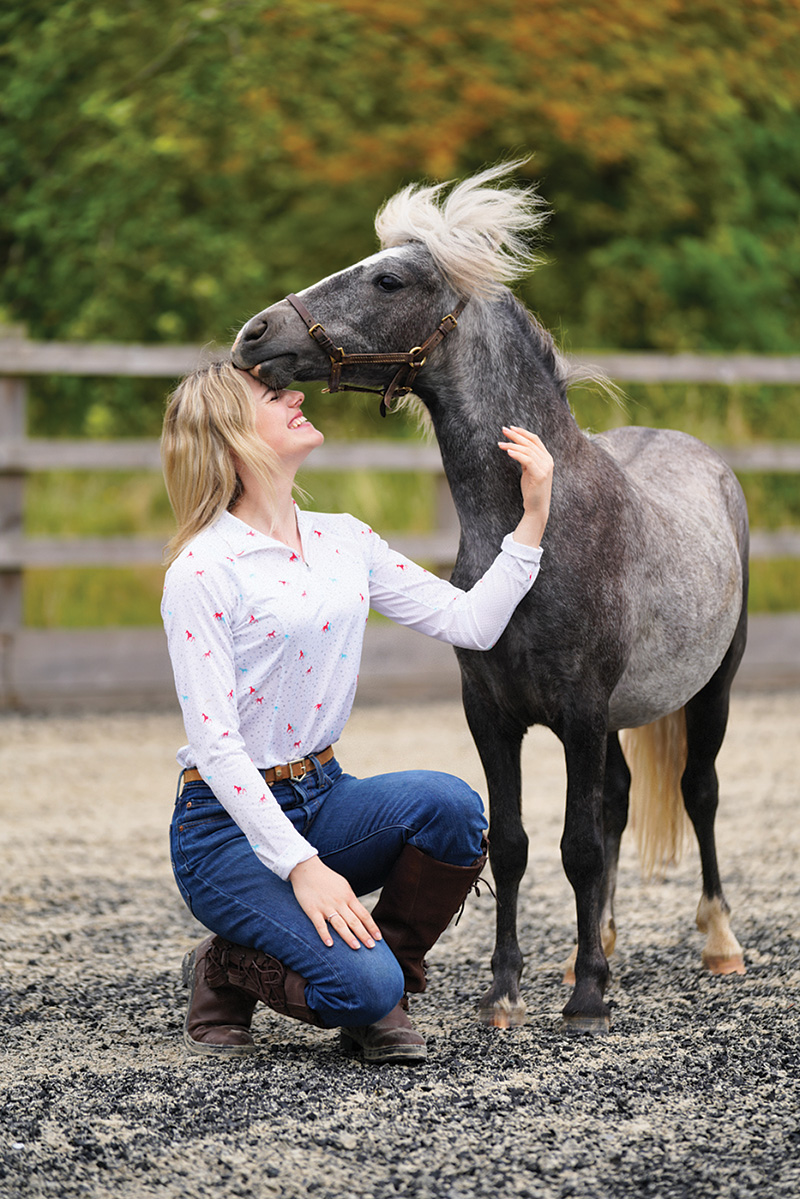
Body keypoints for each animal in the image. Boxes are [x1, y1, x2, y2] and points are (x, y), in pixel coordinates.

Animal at [231, 163, 748, 1032]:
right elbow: (511, 843)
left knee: (698, 793)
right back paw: (600, 942)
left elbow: (575, 844)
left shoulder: (579, 712)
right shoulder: (494, 714)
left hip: (711, 689)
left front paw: (584, 997)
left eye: (389, 278)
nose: (254, 336)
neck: (541, 525)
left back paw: (717, 943)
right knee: (618, 800)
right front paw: (507, 989)